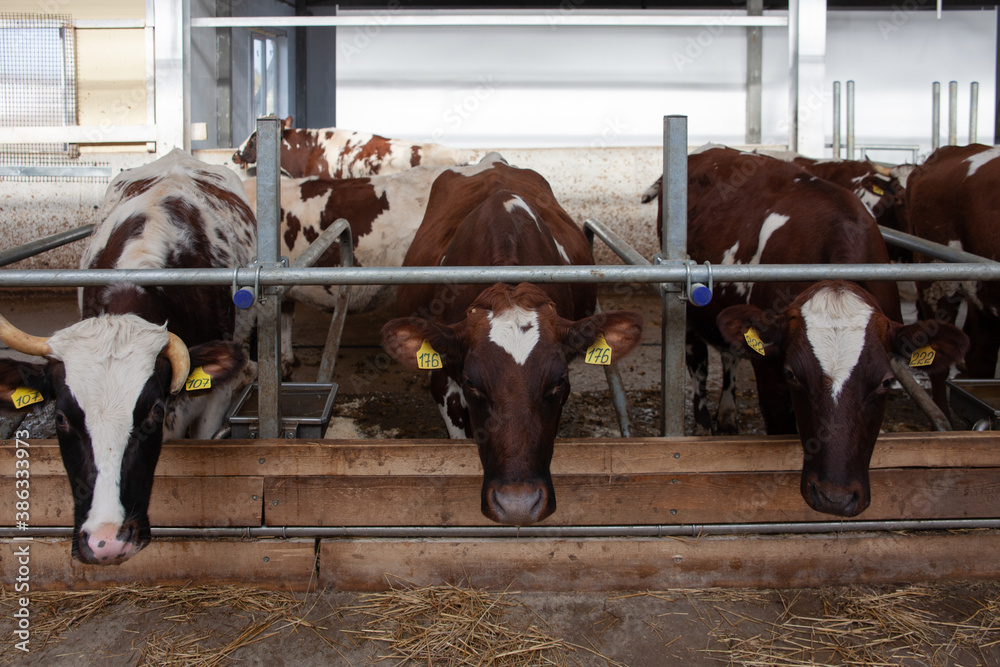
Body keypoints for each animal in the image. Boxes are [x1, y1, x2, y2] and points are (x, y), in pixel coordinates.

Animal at [644, 145, 966, 517]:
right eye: (791, 374)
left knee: (729, 356)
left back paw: (728, 414)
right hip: (689, 312)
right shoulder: (769, 372)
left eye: (886, 381)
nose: (834, 498)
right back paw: (704, 424)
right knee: (698, 365)